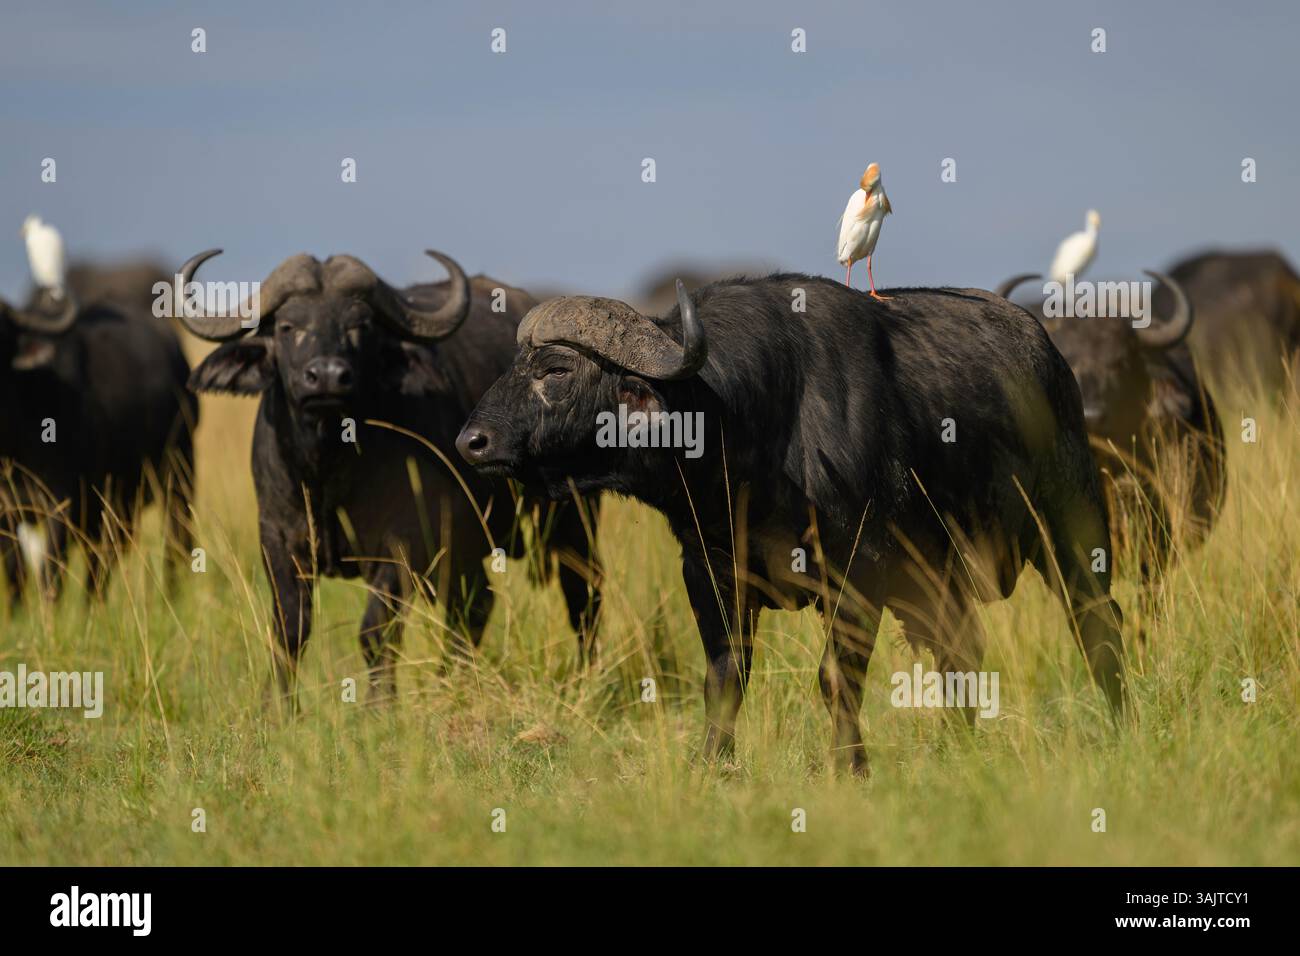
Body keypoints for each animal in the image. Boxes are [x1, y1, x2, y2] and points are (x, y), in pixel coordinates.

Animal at [0, 287, 197, 603]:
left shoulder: (61, 504)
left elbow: (49, 574)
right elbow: (14, 575)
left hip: (179, 474)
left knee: (176, 542)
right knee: (104, 560)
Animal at [175, 248, 601, 705]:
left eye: (359, 326)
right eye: (288, 327)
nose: (327, 376)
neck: (329, 471)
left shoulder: (401, 544)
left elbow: (375, 632)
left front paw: (379, 707)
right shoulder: (277, 538)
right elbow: (290, 631)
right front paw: (280, 709)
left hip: (574, 523)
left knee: (582, 597)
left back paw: (586, 680)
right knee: (474, 606)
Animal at [456, 276, 1127, 774]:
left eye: (556, 370)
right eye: (515, 363)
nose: (472, 441)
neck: (749, 429)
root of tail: (1052, 361)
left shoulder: (860, 570)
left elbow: (836, 679)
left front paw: (849, 767)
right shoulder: (709, 571)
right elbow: (725, 677)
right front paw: (712, 766)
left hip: (1073, 532)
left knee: (1097, 624)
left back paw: (1121, 722)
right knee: (962, 650)